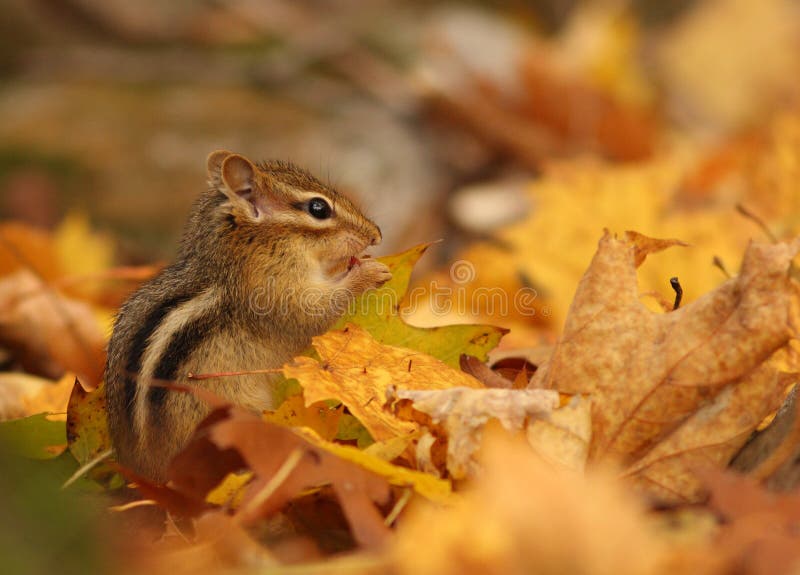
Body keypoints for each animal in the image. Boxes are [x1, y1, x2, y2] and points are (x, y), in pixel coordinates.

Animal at [105, 150, 391, 482]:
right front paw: (368, 273)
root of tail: (143, 471)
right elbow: (314, 311)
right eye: (318, 208)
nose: (376, 235)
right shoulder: (274, 289)